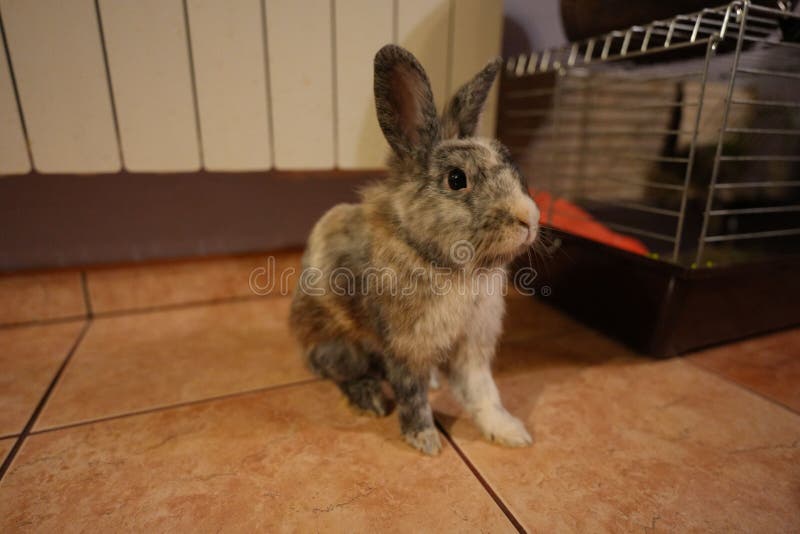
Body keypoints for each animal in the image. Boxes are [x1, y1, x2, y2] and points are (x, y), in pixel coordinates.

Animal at [290, 44, 540, 455]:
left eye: (512, 166)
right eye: (456, 179)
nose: (529, 219)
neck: (448, 266)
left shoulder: (471, 347)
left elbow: (484, 393)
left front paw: (510, 433)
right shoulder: (406, 346)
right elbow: (412, 395)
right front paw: (425, 441)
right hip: (340, 346)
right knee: (339, 372)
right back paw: (370, 398)